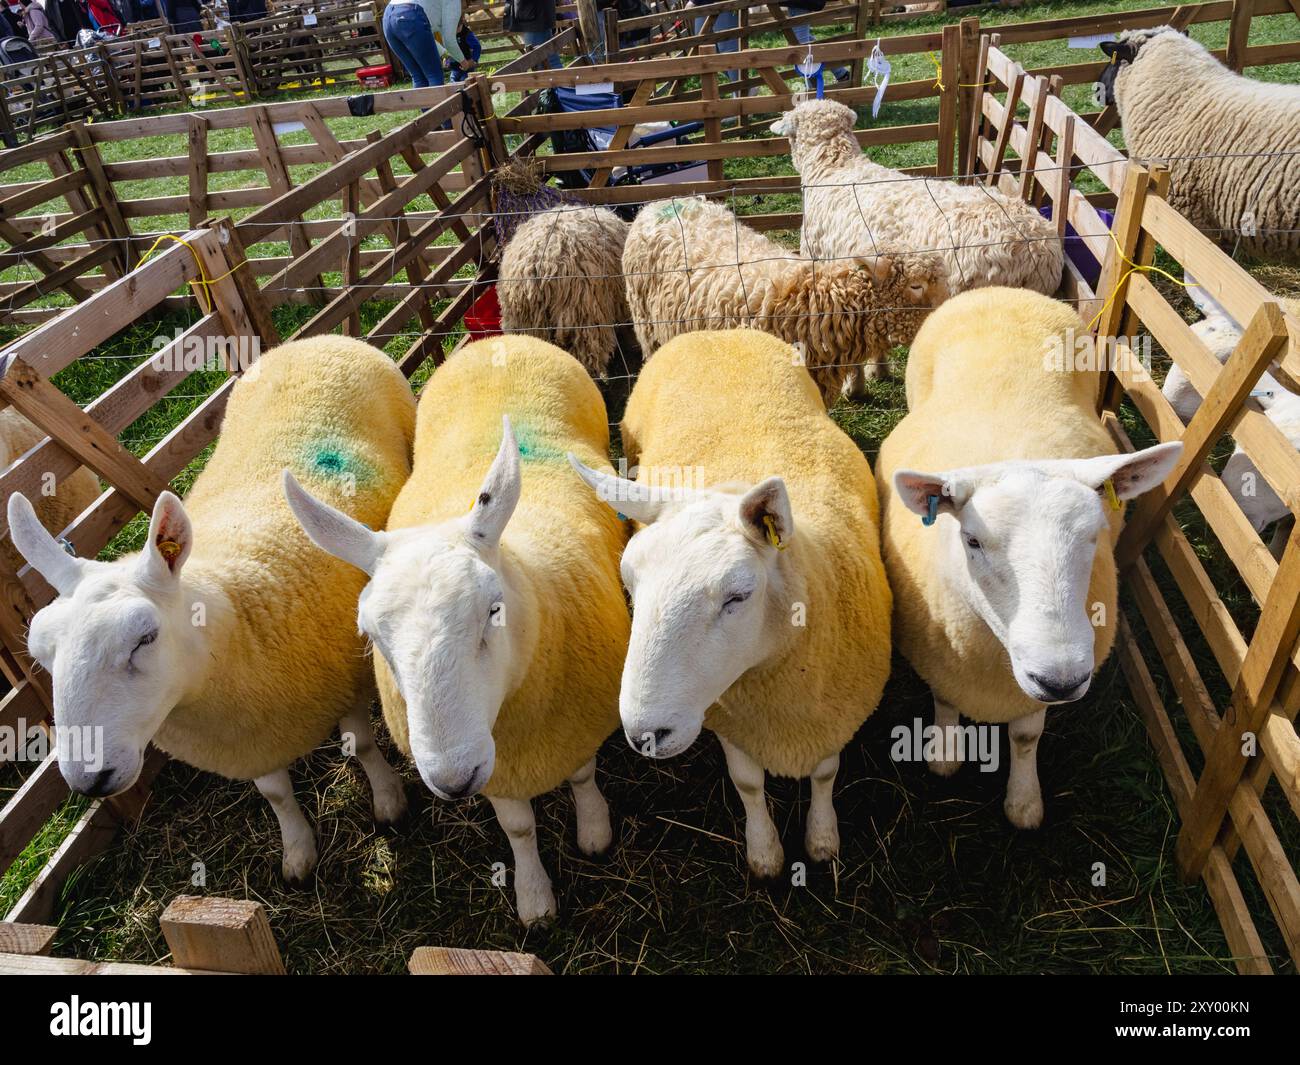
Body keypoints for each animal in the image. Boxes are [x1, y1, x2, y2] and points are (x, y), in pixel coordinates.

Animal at [283, 335, 629, 926]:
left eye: (494, 609)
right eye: (370, 634)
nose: (452, 780)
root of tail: (500, 340)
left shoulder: (578, 722)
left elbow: (583, 777)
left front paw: (594, 832)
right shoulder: (498, 767)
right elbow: (519, 828)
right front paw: (534, 897)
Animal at [569, 328, 893, 877]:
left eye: (738, 595)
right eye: (629, 583)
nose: (645, 735)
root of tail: (714, 331)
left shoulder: (834, 711)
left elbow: (825, 776)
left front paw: (821, 840)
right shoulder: (729, 716)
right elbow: (748, 783)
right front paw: (764, 853)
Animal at [876, 288, 1181, 829]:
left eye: (1095, 535)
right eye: (972, 541)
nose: (1060, 680)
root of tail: (1003, 290)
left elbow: (1024, 736)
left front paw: (1023, 801)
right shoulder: (939, 656)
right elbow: (944, 701)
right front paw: (945, 754)